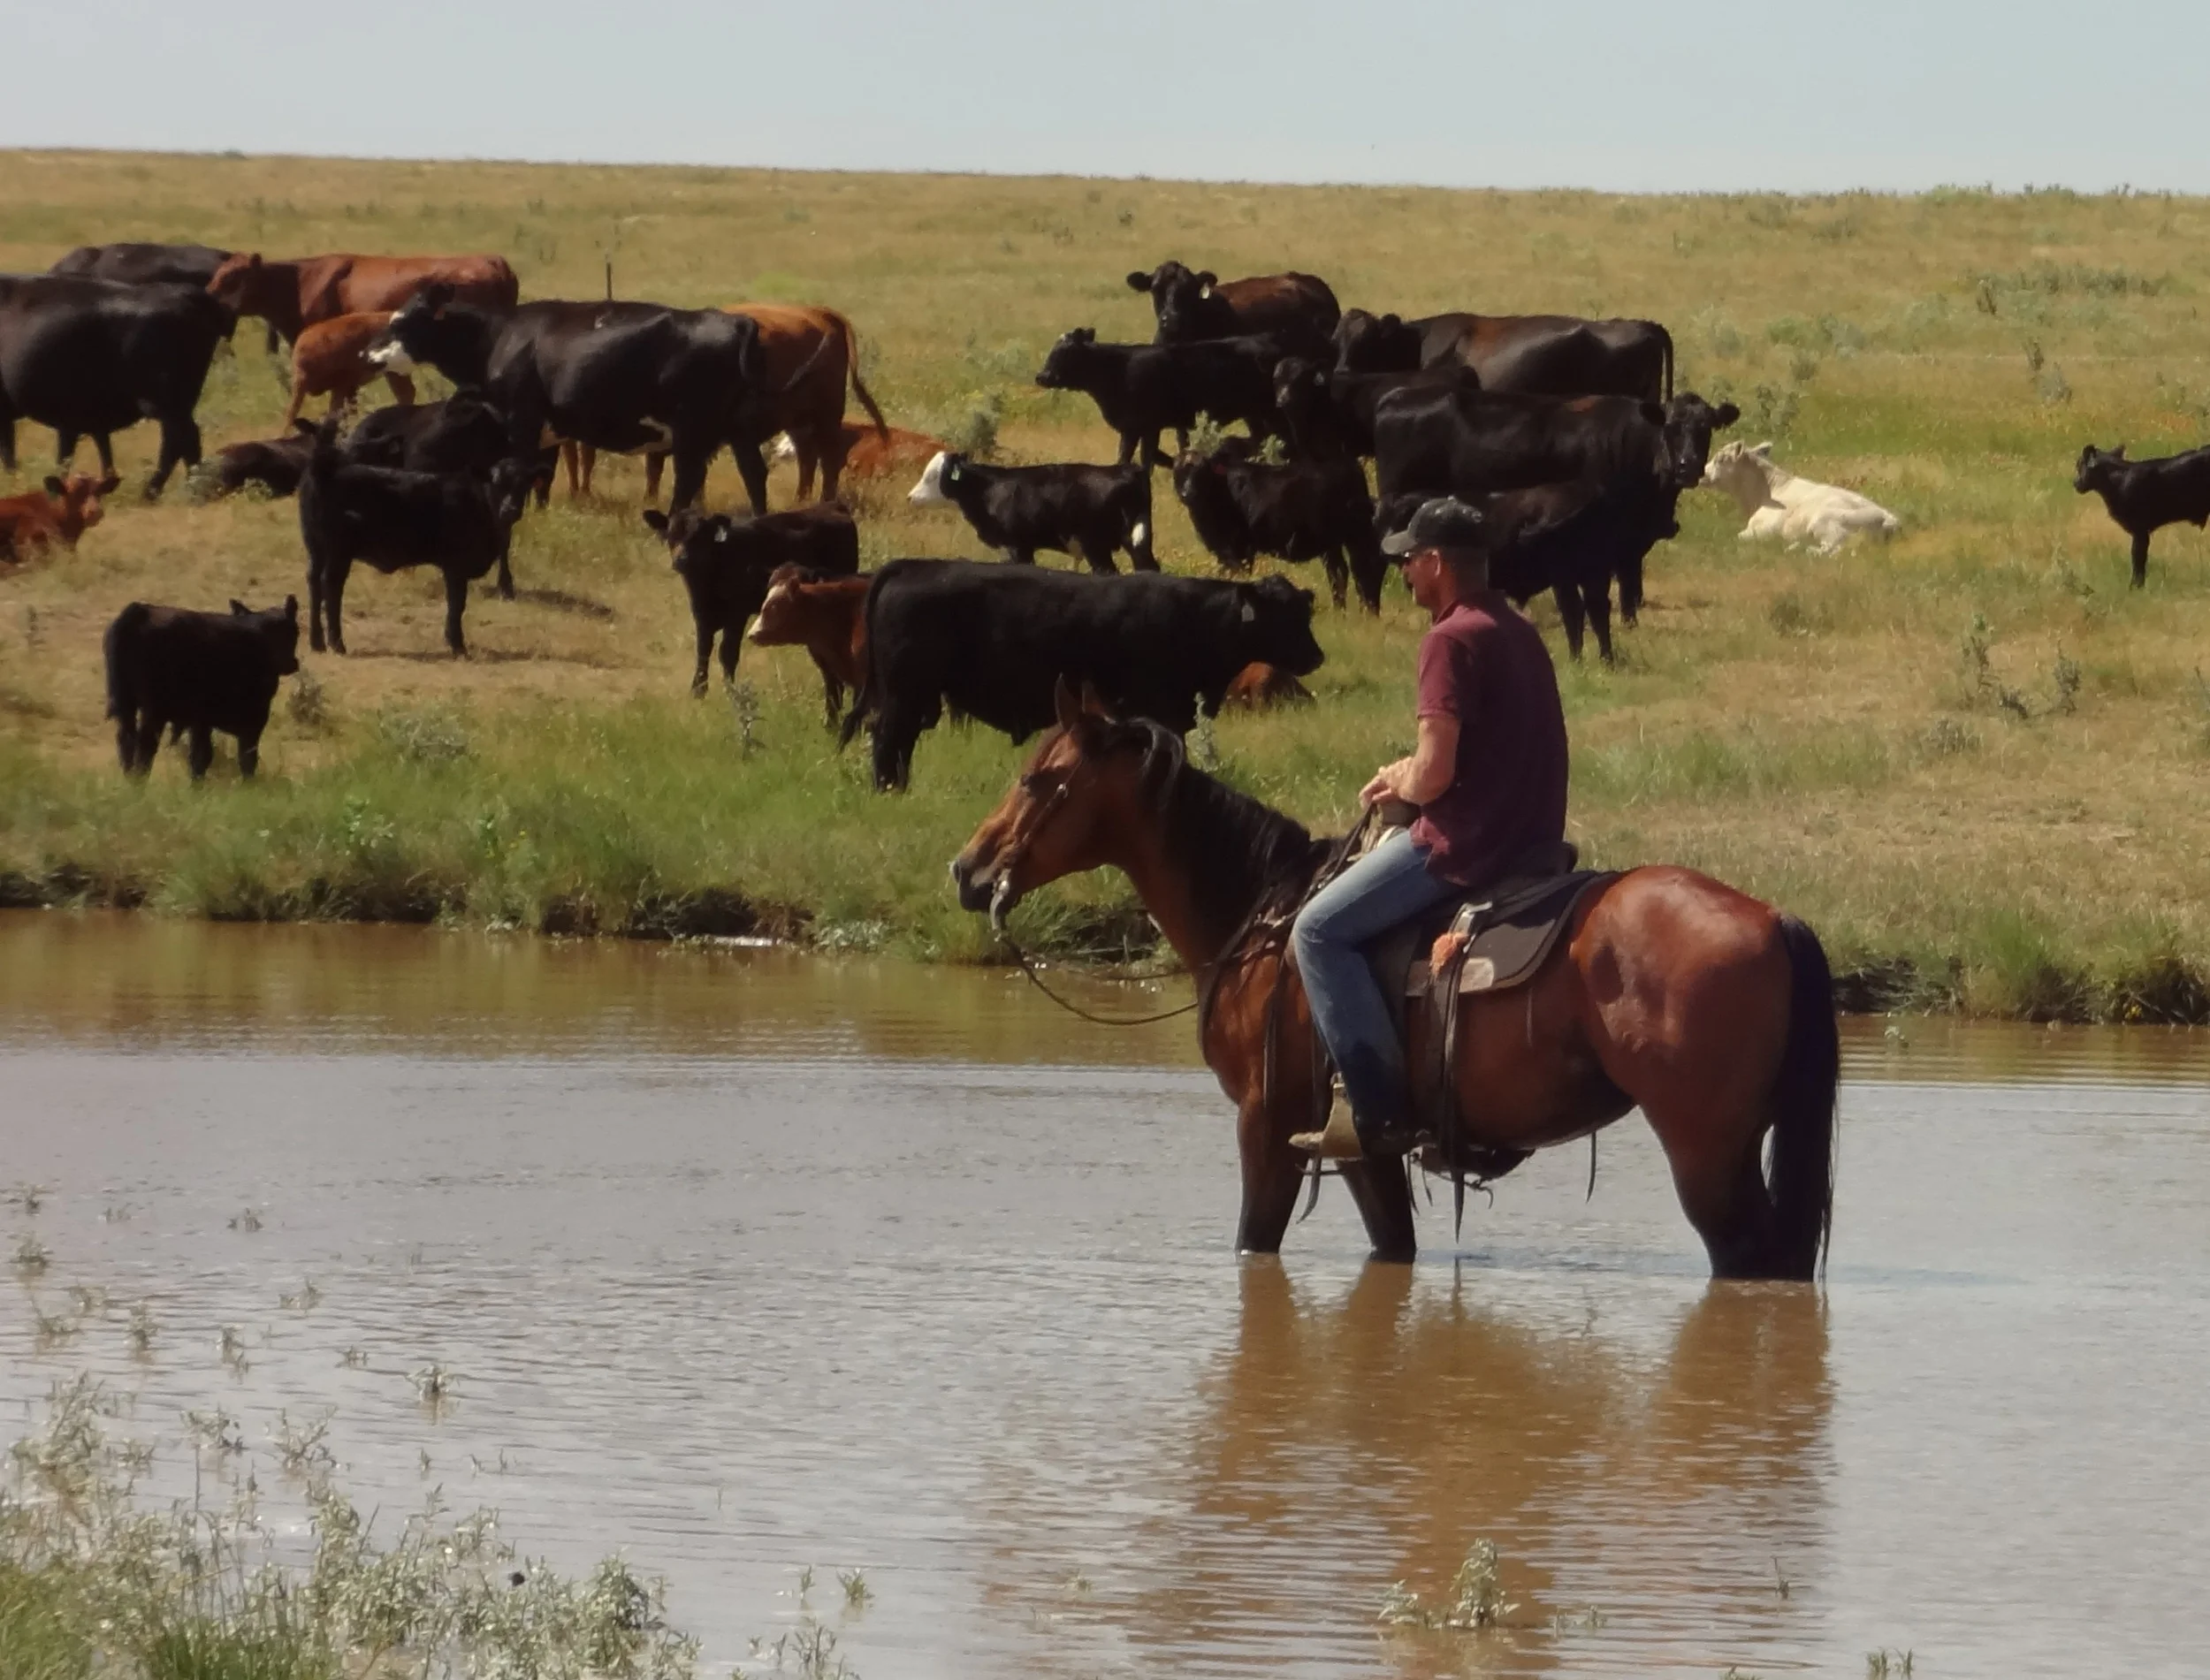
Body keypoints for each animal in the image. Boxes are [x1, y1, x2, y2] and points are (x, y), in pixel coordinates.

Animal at [950, 680, 1839, 1278]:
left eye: (1037, 779)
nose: (966, 869)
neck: (1266, 918)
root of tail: (1770, 917)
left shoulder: (1266, 1125)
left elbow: (1253, 1240)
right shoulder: (1356, 1147)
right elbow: (1391, 1246)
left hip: (1706, 1150)